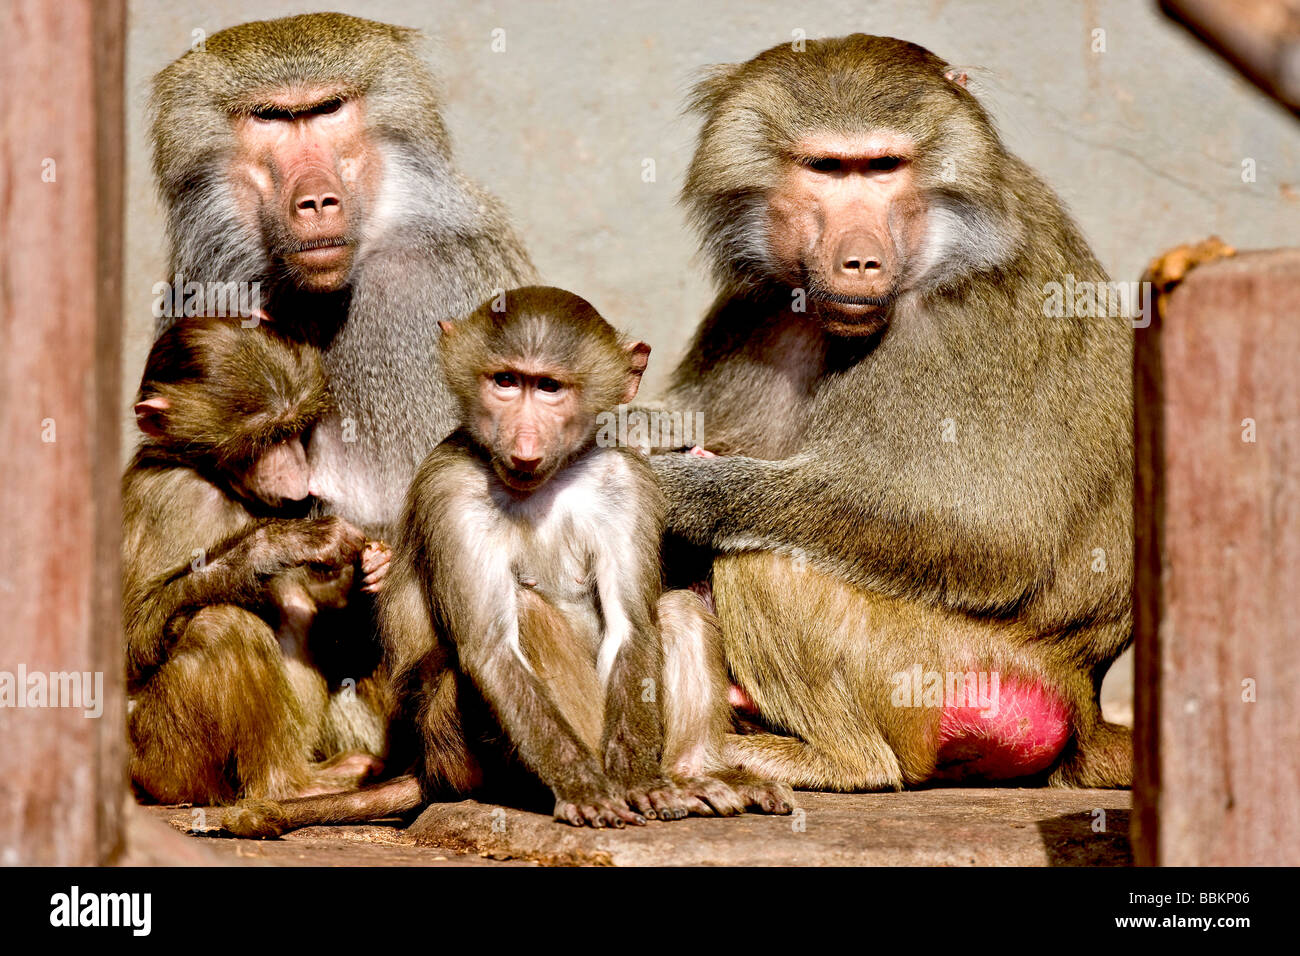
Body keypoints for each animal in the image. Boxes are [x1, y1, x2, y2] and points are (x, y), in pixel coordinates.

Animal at [124, 316, 393, 805]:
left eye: (295, 429)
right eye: (265, 439)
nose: (299, 476)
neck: (214, 480)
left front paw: (371, 573)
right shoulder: (172, 497)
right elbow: (132, 640)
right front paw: (281, 544)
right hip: (160, 763)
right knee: (221, 627)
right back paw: (286, 786)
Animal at [220, 287, 794, 835]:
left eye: (549, 388)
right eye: (505, 381)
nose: (523, 438)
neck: (546, 484)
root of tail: (427, 768)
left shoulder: (626, 482)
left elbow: (633, 629)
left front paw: (640, 781)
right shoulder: (451, 488)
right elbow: (492, 648)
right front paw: (587, 788)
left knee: (677, 611)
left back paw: (690, 775)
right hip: (459, 744)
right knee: (529, 614)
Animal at [643, 36, 1133, 791]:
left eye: (882, 167)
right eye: (826, 168)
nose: (861, 262)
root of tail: (1083, 693)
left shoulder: (963, 327)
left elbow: (995, 530)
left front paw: (678, 492)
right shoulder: (756, 309)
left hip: (937, 669)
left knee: (768, 560)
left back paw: (823, 761)